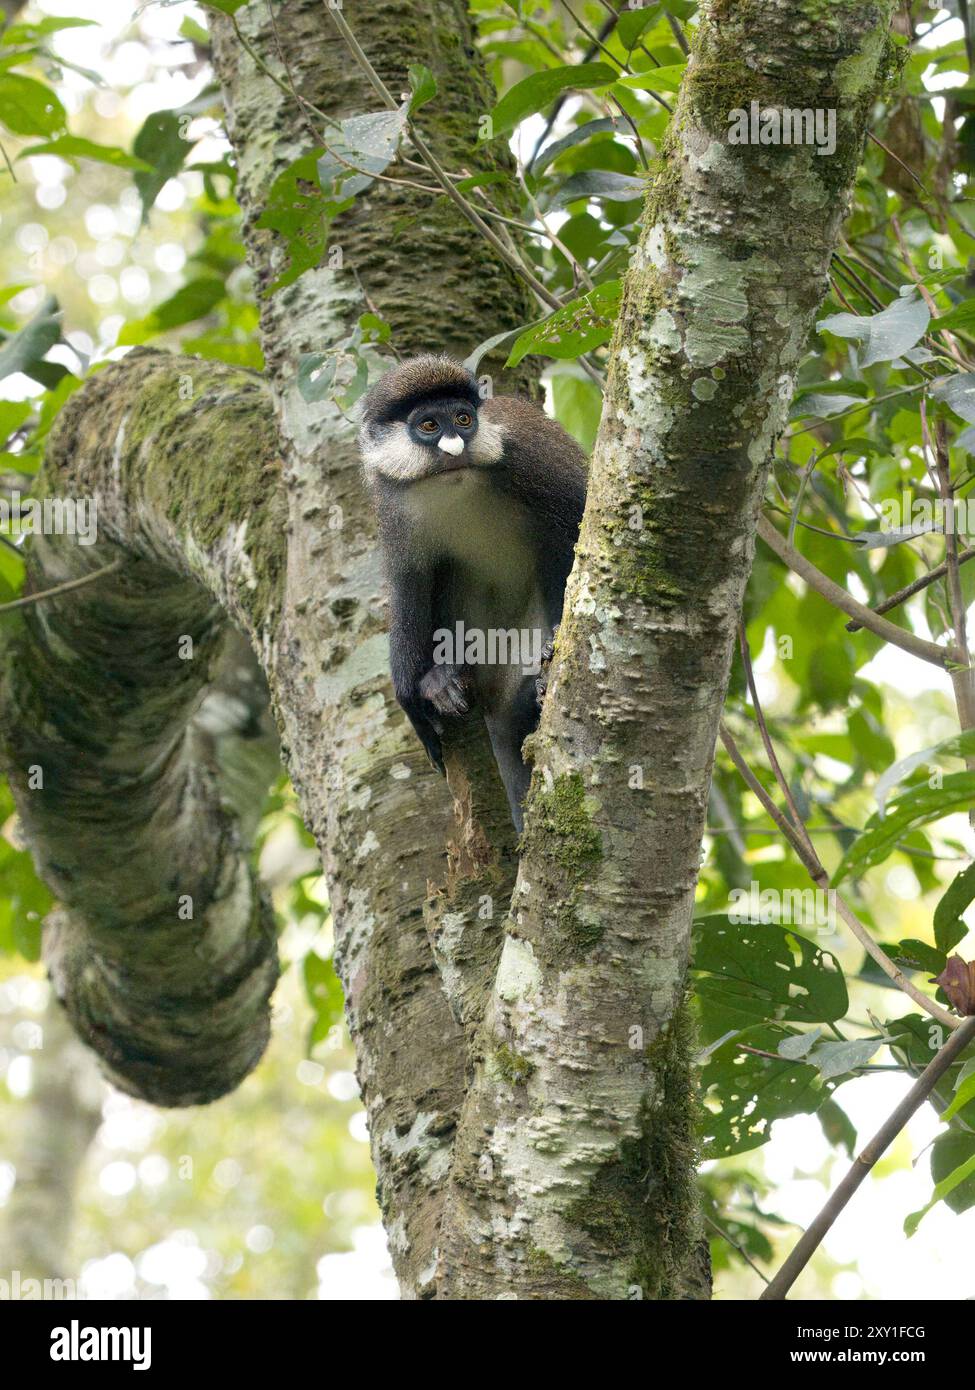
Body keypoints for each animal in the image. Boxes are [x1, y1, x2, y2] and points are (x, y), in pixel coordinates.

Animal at [358, 354, 587, 832]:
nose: (454, 447)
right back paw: (445, 681)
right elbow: (410, 586)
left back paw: (536, 685)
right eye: (429, 425)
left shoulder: (531, 460)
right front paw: (414, 696)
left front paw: (553, 652)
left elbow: (575, 530)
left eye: (463, 419)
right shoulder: (395, 511)